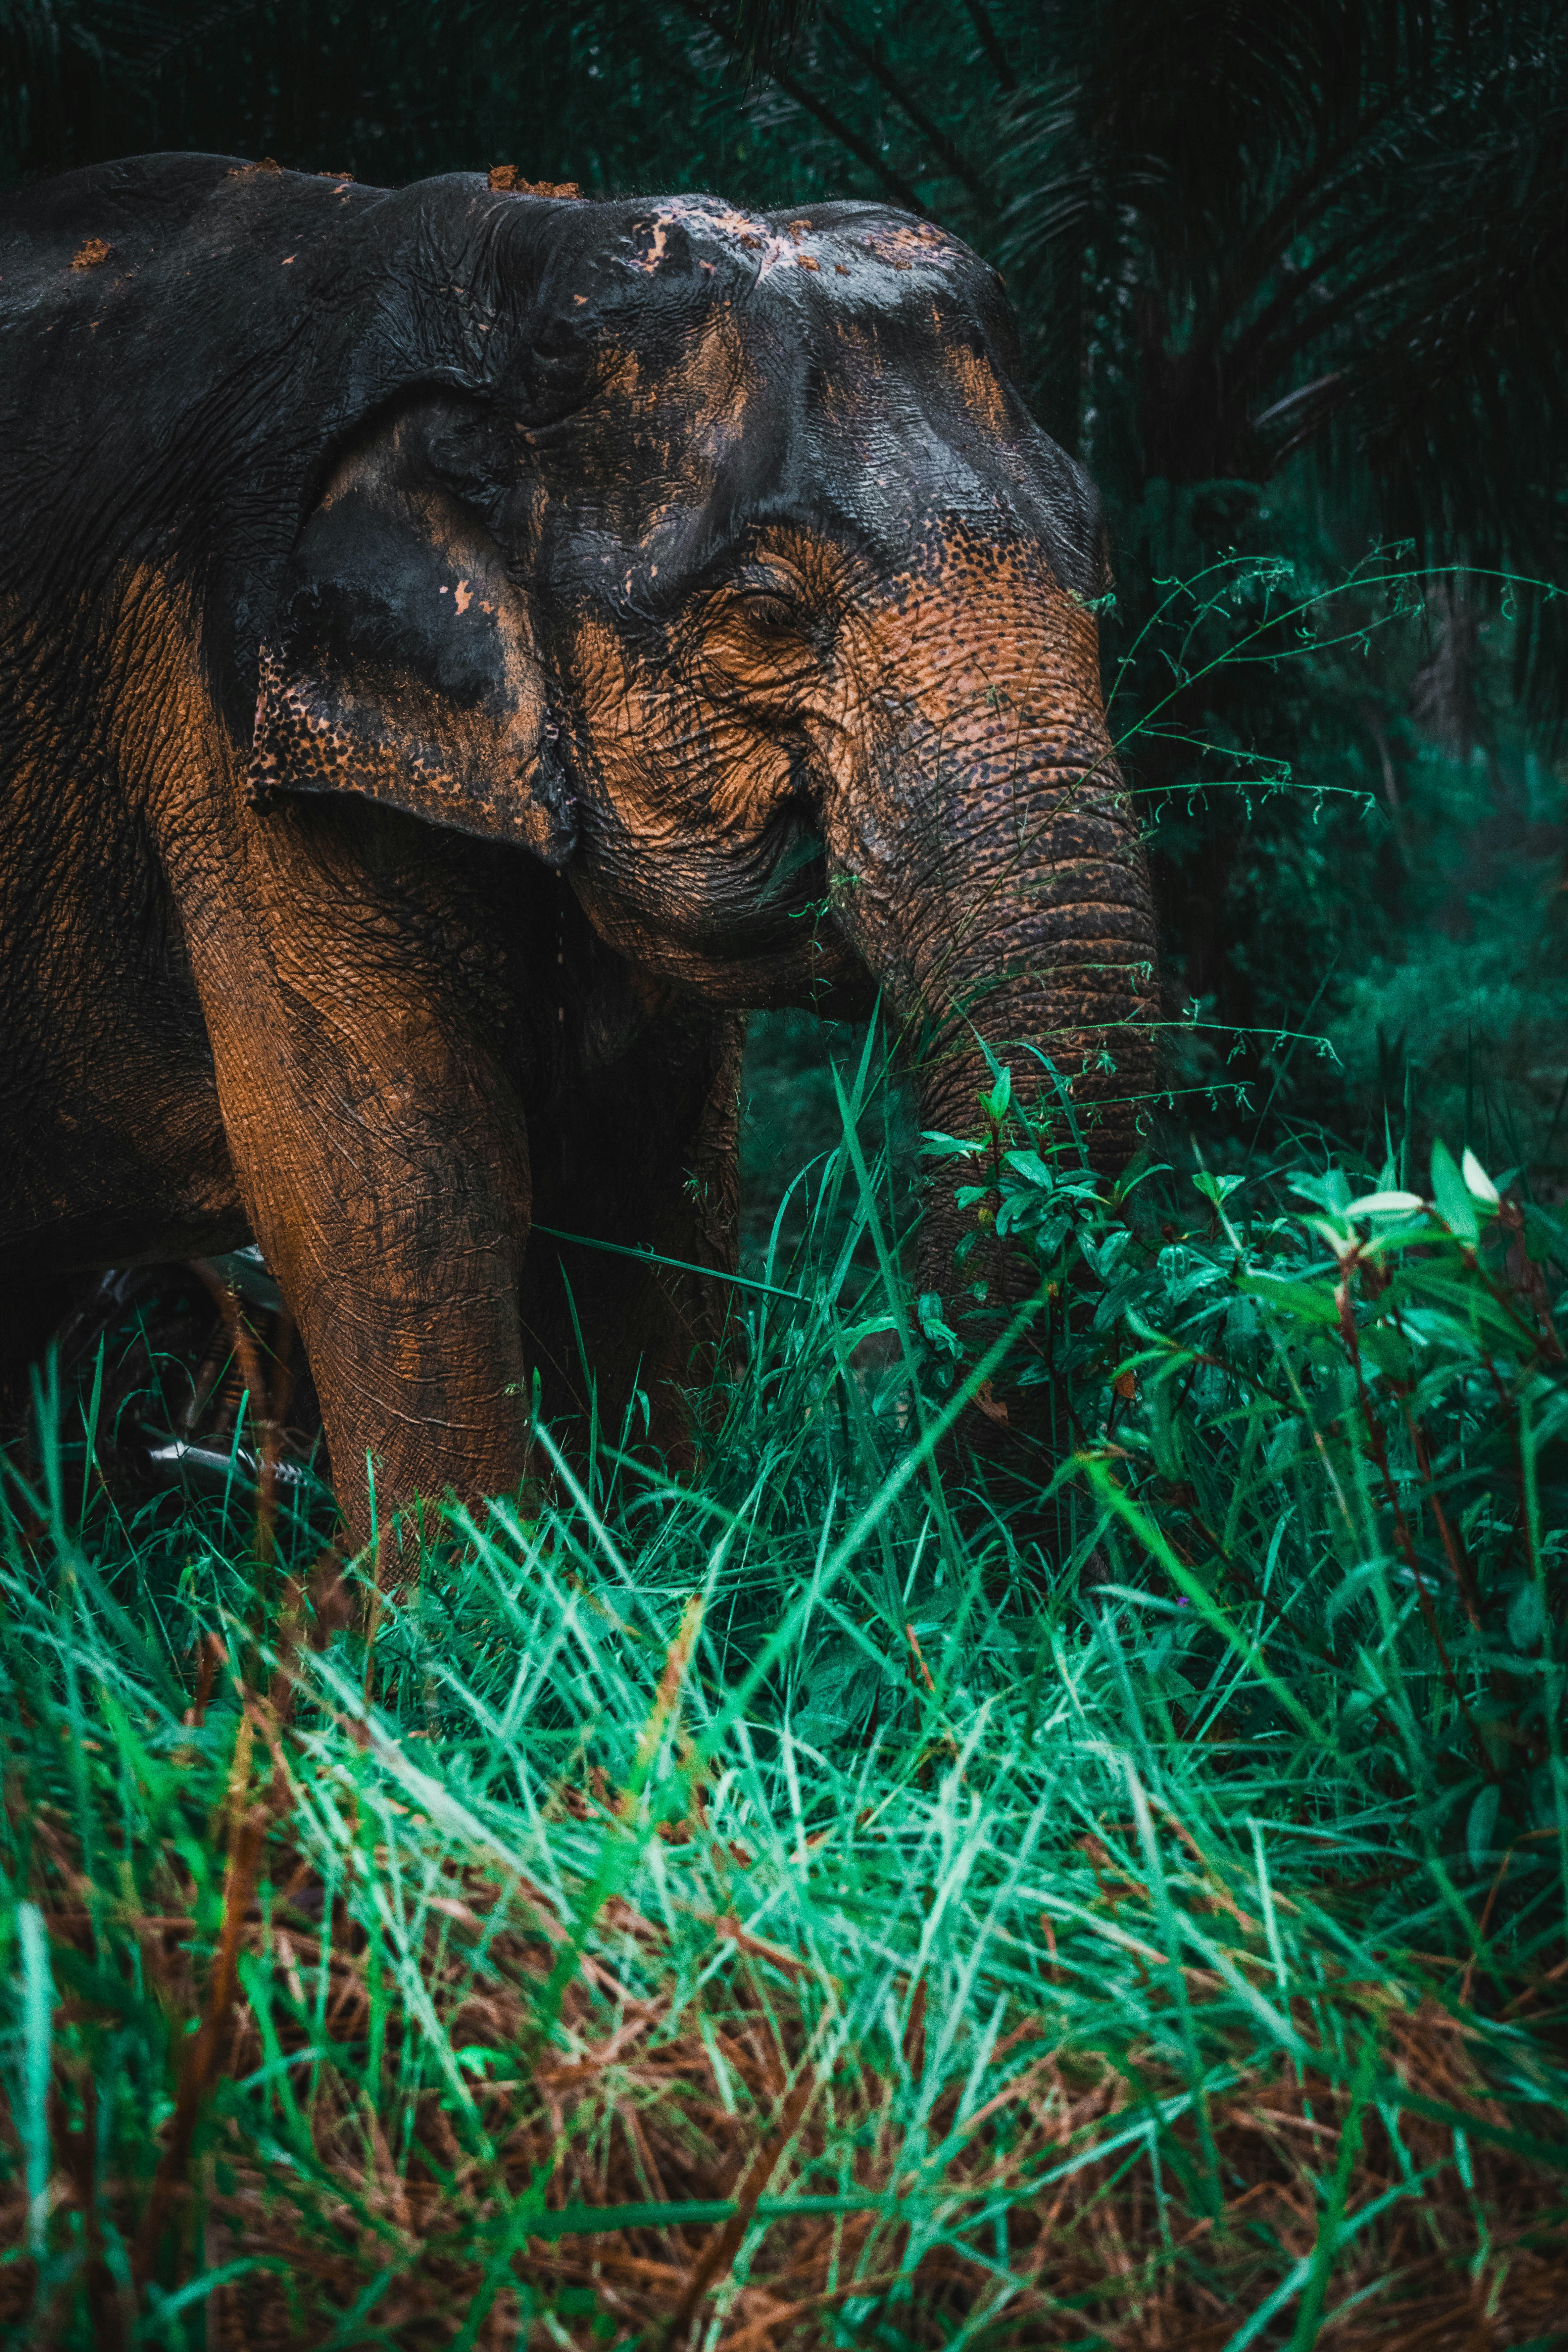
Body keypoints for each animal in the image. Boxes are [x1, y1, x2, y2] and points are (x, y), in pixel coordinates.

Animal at [0, 152, 1156, 1545]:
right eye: (767, 615)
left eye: (1096, 562)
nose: (880, 1408)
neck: (505, 273)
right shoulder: (230, 733)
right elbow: (393, 1180)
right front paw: (459, 1594)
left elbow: (653, 1171)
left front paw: (666, 1541)